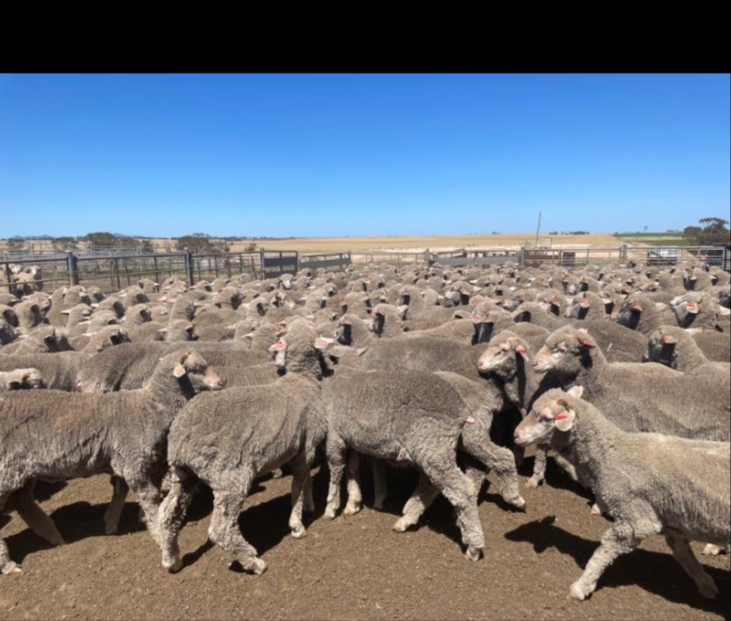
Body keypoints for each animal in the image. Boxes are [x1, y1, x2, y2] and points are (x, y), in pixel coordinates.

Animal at [0, 350, 223, 575]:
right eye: (196, 368)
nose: (221, 382)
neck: (151, 406)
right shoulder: (135, 464)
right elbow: (150, 502)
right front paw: (165, 545)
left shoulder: (137, 461)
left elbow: (121, 490)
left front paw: (114, 524)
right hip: (5, 474)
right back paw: (9, 564)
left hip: (21, 473)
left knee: (24, 502)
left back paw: (55, 537)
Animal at [156, 320, 328, 574]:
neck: (301, 380)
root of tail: (179, 438)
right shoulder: (306, 447)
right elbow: (297, 483)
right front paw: (297, 525)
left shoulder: (301, 450)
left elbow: (304, 480)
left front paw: (308, 505)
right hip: (230, 475)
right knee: (221, 529)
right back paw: (252, 561)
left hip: (184, 473)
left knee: (167, 514)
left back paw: (171, 559)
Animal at [514, 388, 730, 601]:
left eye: (546, 418)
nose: (515, 435)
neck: (612, 454)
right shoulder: (673, 520)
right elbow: (684, 554)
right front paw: (706, 585)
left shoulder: (636, 519)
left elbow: (604, 550)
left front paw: (581, 587)